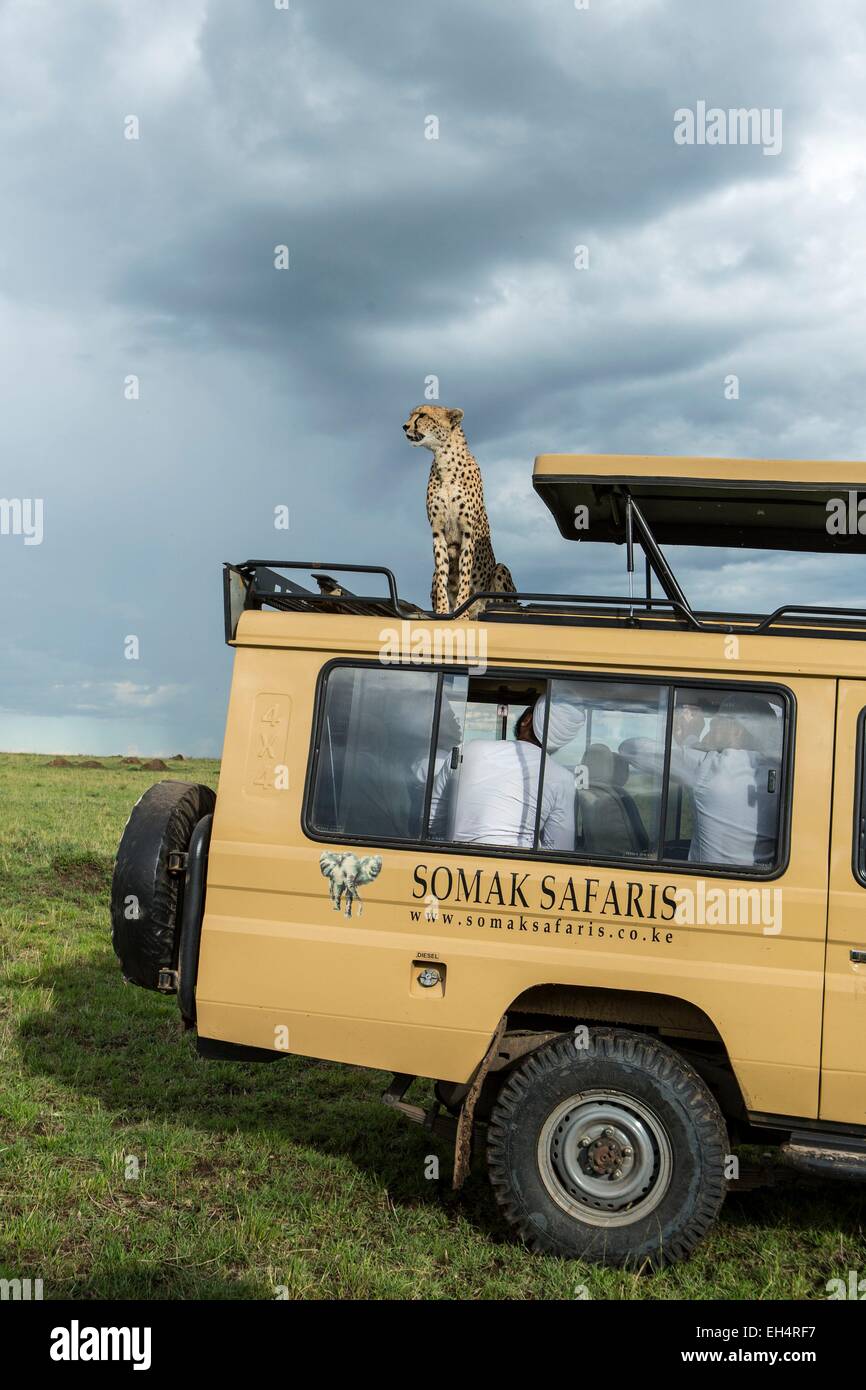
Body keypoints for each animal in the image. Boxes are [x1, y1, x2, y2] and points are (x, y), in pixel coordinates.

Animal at [403, 404, 516, 616]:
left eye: (422, 415)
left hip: (501, 569)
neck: (445, 462)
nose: (404, 426)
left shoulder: (468, 532)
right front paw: (443, 611)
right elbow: (442, 575)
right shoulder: (437, 532)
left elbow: (465, 574)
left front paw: (460, 612)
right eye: (411, 415)